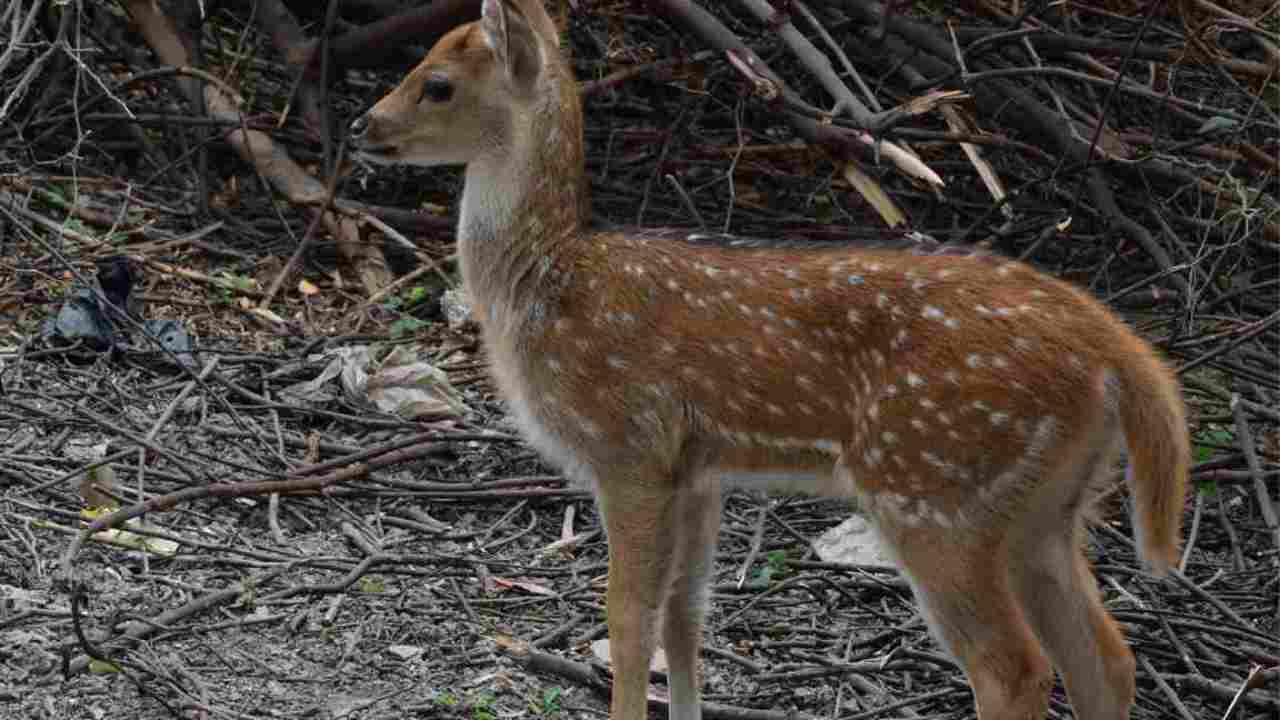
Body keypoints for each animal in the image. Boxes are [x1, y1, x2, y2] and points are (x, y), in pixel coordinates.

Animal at [349, 2, 1189, 718]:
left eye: (437, 83)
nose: (365, 123)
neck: (545, 284)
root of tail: (1114, 349)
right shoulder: (698, 471)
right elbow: (685, 618)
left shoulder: (629, 447)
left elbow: (627, 617)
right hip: (1045, 506)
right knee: (1106, 659)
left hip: (937, 488)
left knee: (1015, 669)